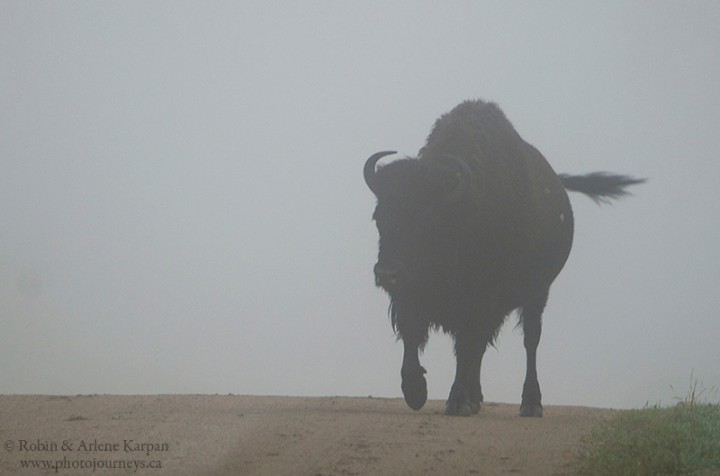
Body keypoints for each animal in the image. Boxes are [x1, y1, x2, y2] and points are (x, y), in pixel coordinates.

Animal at [364, 99, 644, 417]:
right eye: (379, 216)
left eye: (429, 219)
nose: (387, 273)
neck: (463, 209)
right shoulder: (410, 298)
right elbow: (413, 339)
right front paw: (416, 392)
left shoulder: (479, 299)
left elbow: (467, 346)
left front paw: (457, 400)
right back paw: (477, 398)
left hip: (537, 293)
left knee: (529, 340)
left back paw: (530, 404)